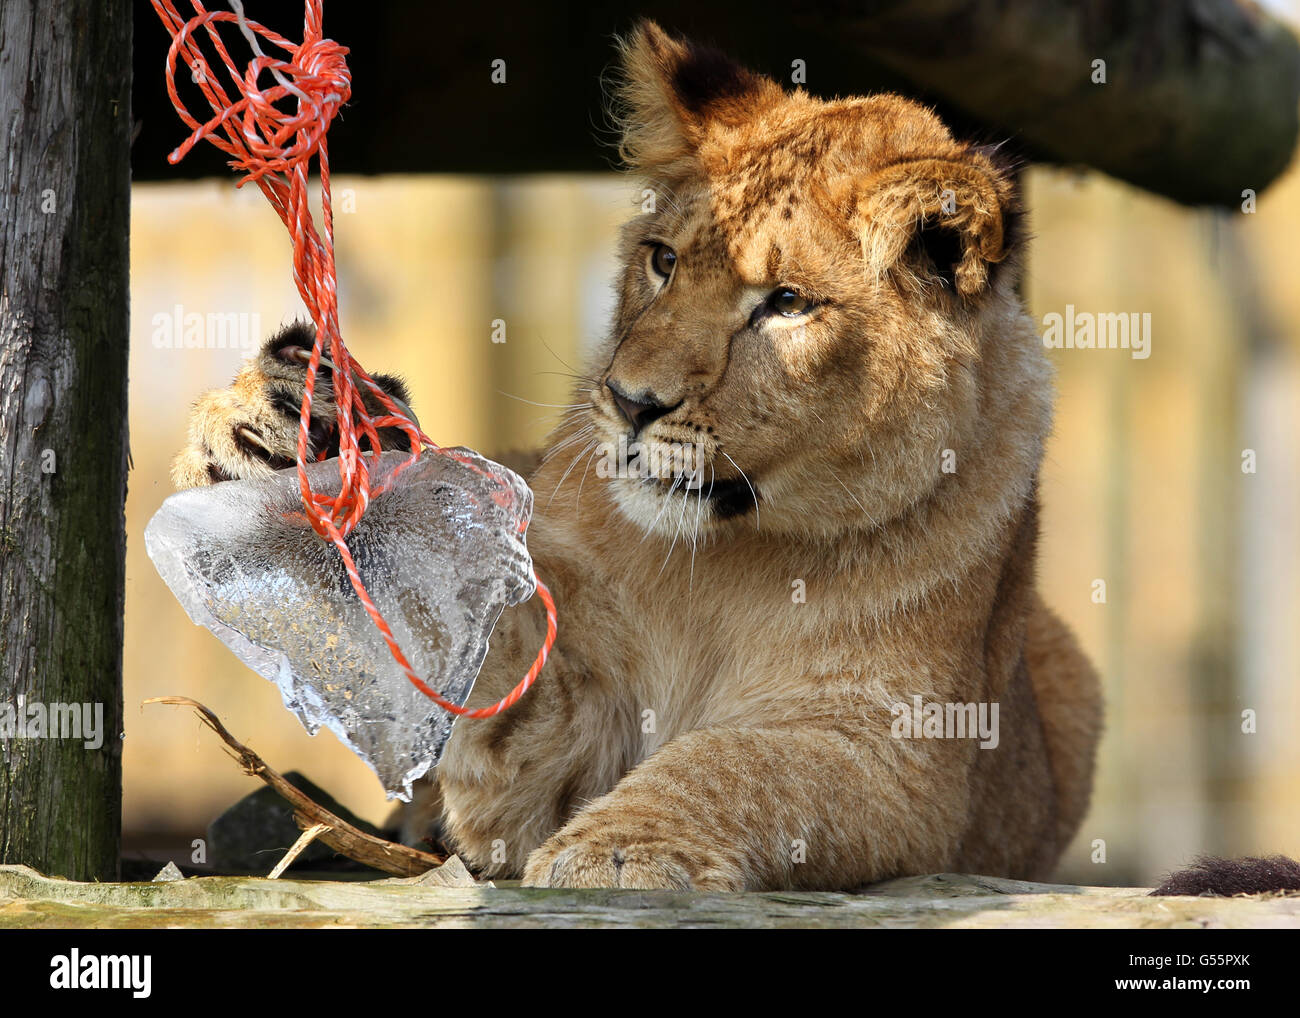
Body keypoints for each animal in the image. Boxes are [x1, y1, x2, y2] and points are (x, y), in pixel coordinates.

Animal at [170, 20, 1104, 891]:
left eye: (787, 303)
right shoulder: (556, 723)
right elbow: (478, 648)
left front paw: (620, 851)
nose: (630, 401)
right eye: (662, 261)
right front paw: (283, 431)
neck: (724, 561)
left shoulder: (902, 757)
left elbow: (738, 763)